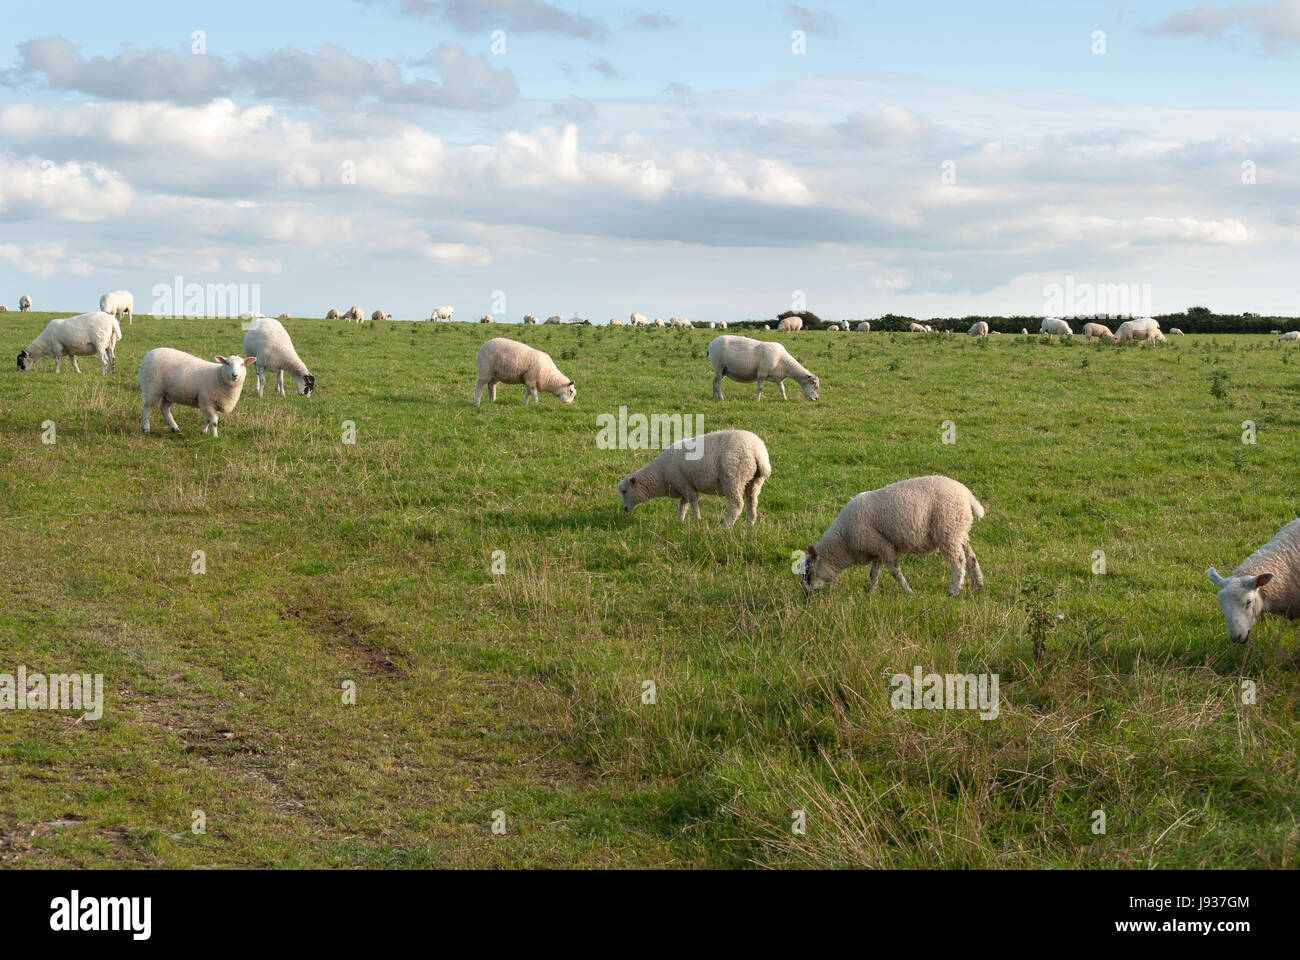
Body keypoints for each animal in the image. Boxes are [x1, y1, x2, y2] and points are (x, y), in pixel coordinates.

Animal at [618, 429, 770, 528]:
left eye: (624, 491)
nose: (624, 509)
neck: (660, 475)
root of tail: (757, 450)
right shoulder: (684, 486)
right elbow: (682, 506)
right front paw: (680, 521)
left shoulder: (685, 486)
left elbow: (692, 503)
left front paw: (697, 520)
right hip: (754, 481)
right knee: (752, 502)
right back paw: (749, 525)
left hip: (733, 478)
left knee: (737, 505)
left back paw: (725, 527)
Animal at [801, 475, 986, 597]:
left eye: (808, 571)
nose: (806, 595)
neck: (843, 541)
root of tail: (968, 495)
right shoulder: (876, 550)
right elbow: (874, 574)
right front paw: (871, 593)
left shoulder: (885, 547)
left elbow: (895, 572)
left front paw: (908, 591)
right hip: (959, 532)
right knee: (971, 557)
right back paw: (978, 585)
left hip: (948, 531)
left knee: (958, 562)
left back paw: (953, 591)